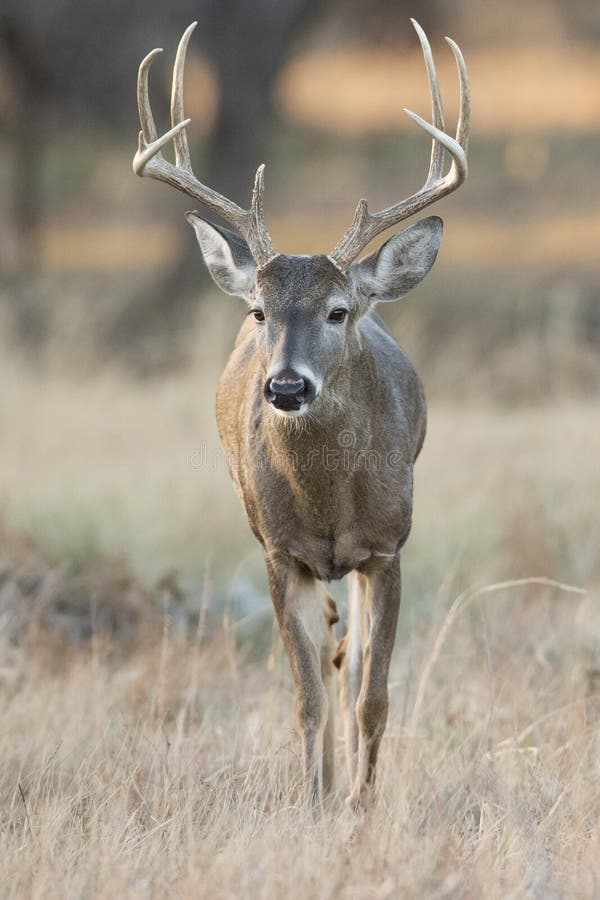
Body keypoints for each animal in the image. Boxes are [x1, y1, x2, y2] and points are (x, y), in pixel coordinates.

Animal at [133, 18, 470, 810]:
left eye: (338, 311)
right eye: (260, 311)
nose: (285, 388)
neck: (329, 506)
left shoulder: (388, 546)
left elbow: (373, 697)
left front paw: (362, 806)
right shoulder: (279, 551)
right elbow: (307, 696)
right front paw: (316, 802)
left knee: (351, 664)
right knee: (328, 659)